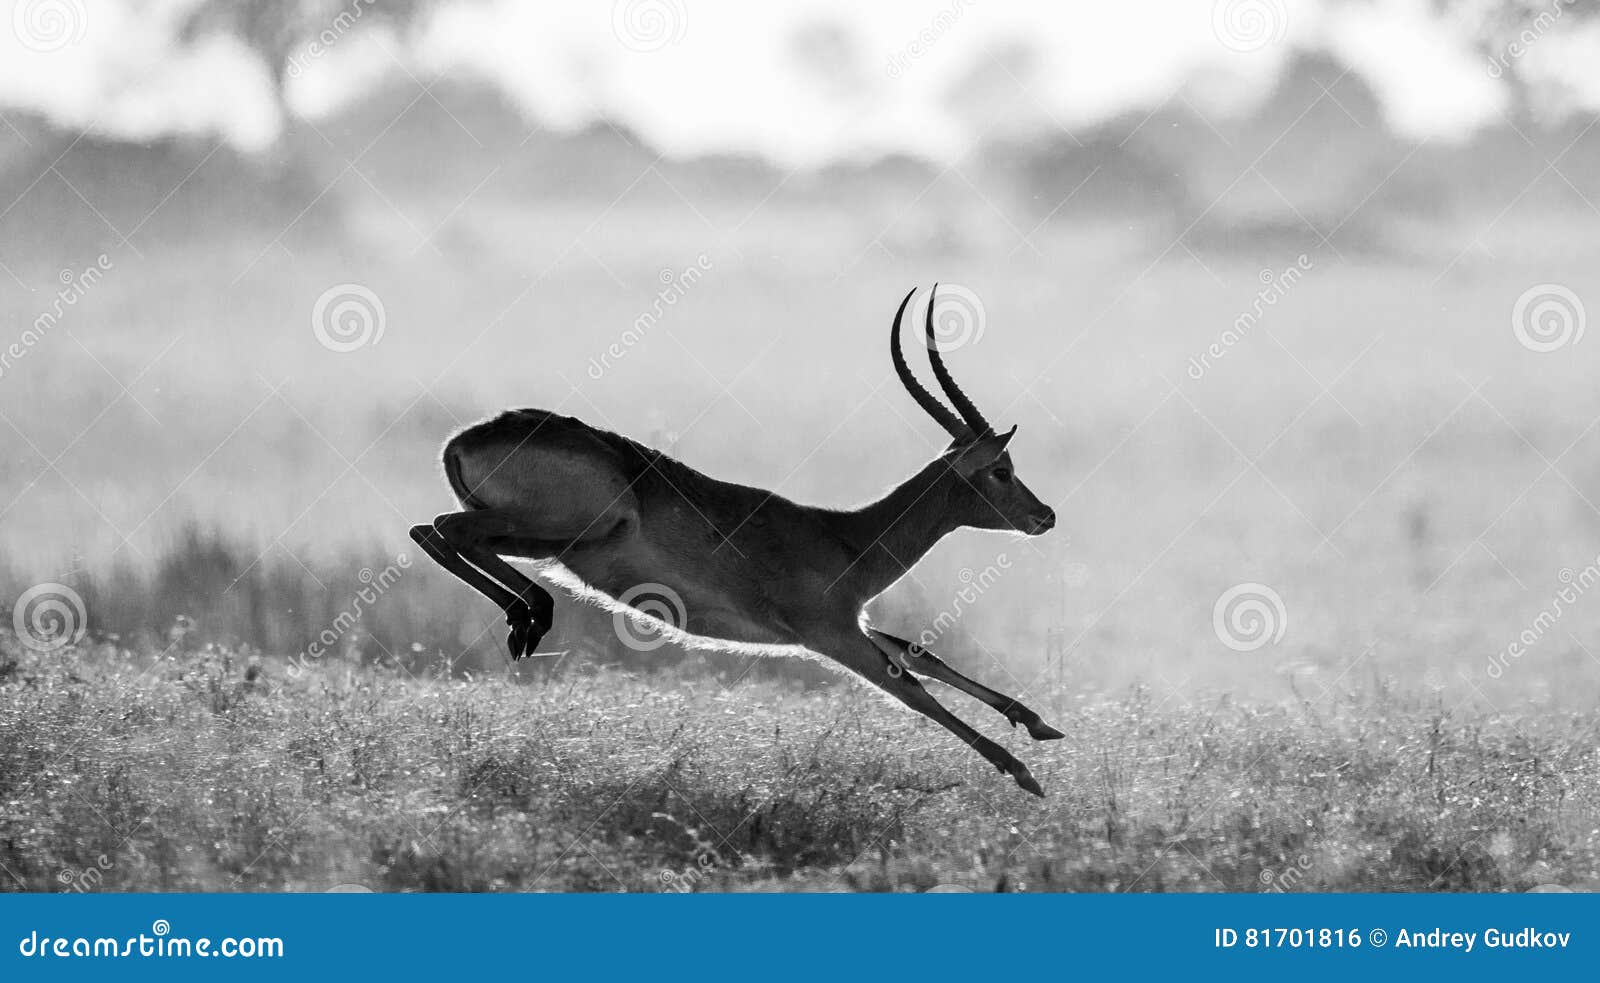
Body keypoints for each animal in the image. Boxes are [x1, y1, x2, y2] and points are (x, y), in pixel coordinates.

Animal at [409, 285, 1064, 795]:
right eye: (1001, 469)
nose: (1046, 516)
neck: (849, 539)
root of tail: (465, 438)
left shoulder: (850, 621)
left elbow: (920, 652)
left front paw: (1039, 723)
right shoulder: (829, 633)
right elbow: (911, 688)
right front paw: (1024, 773)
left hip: (545, 542)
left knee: (431, 531)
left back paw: (525, 621)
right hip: (575, 528)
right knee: (447, 530)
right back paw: (531, 618)